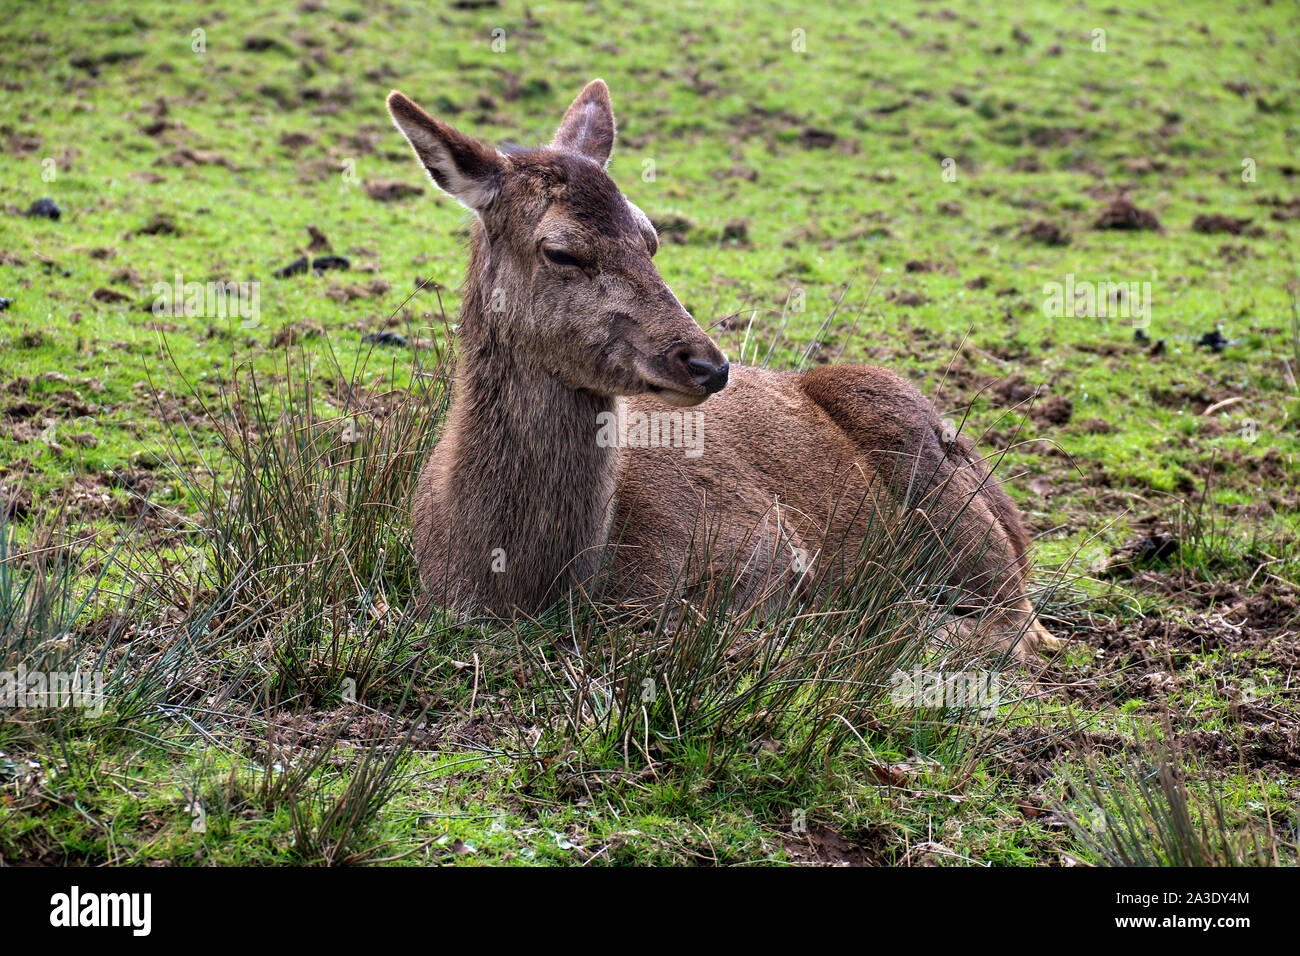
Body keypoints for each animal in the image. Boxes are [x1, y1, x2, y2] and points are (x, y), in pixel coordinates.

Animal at [386, 79, 1059, 658]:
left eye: (651, 237)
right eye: (560, 251)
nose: (708, 364)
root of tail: (1018, 523)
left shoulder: (763, 542)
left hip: (940, 484)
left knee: (1020, 625)